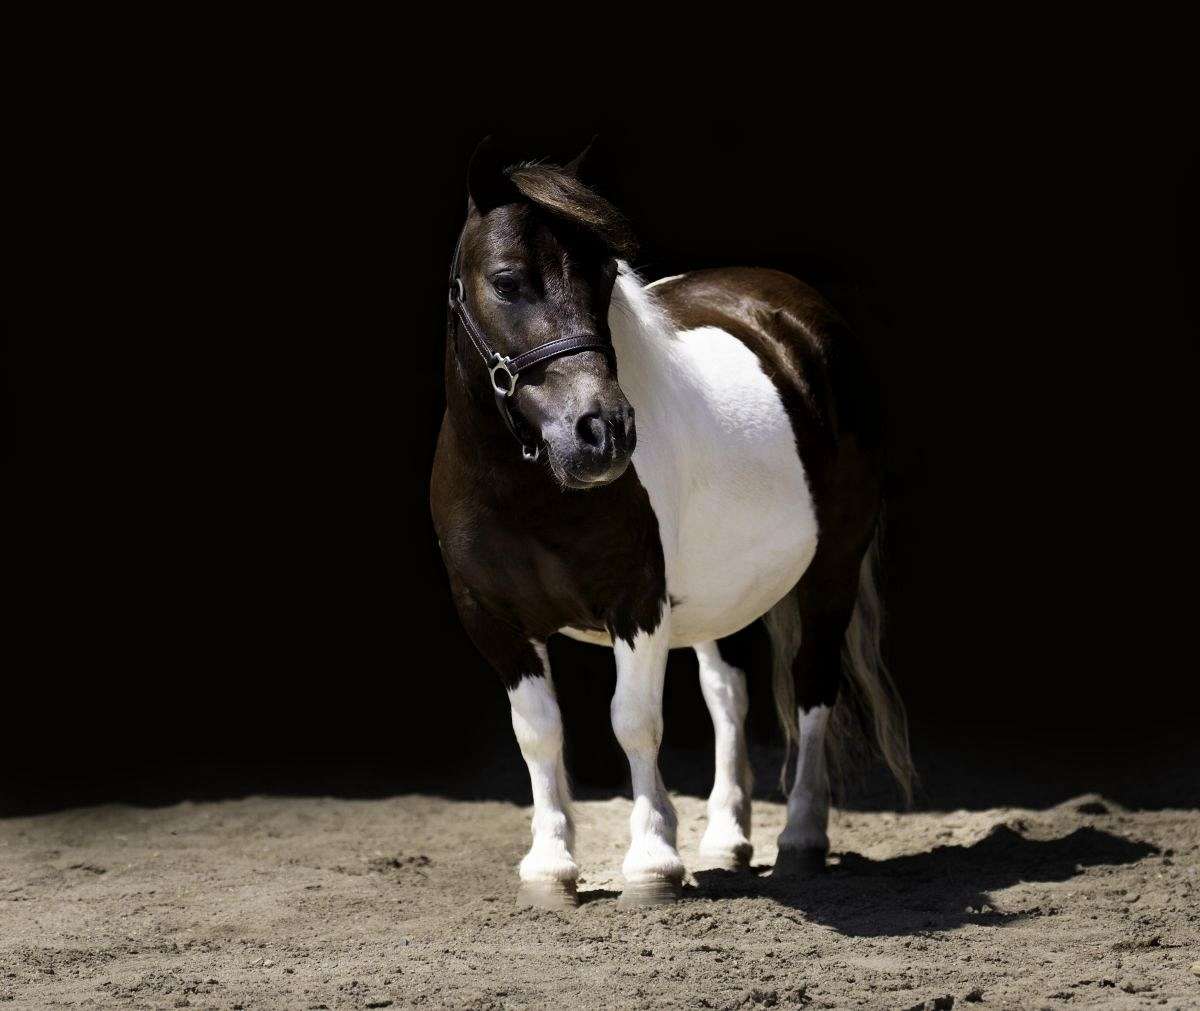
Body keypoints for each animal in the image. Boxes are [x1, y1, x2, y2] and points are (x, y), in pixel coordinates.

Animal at [430, 139, 914, 908]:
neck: (525, 491)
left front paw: (653, 863)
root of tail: (792, 311)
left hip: (831, 570)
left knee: (813, 687)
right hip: (728, 591)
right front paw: (550, 867)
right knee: (729, 695)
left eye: (604, 277)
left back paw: (801, 837)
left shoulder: (637, 604)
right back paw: (728, 838)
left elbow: (634, 721)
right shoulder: (494, 620)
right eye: (506, 281)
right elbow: (538, 733)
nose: (601, 433)